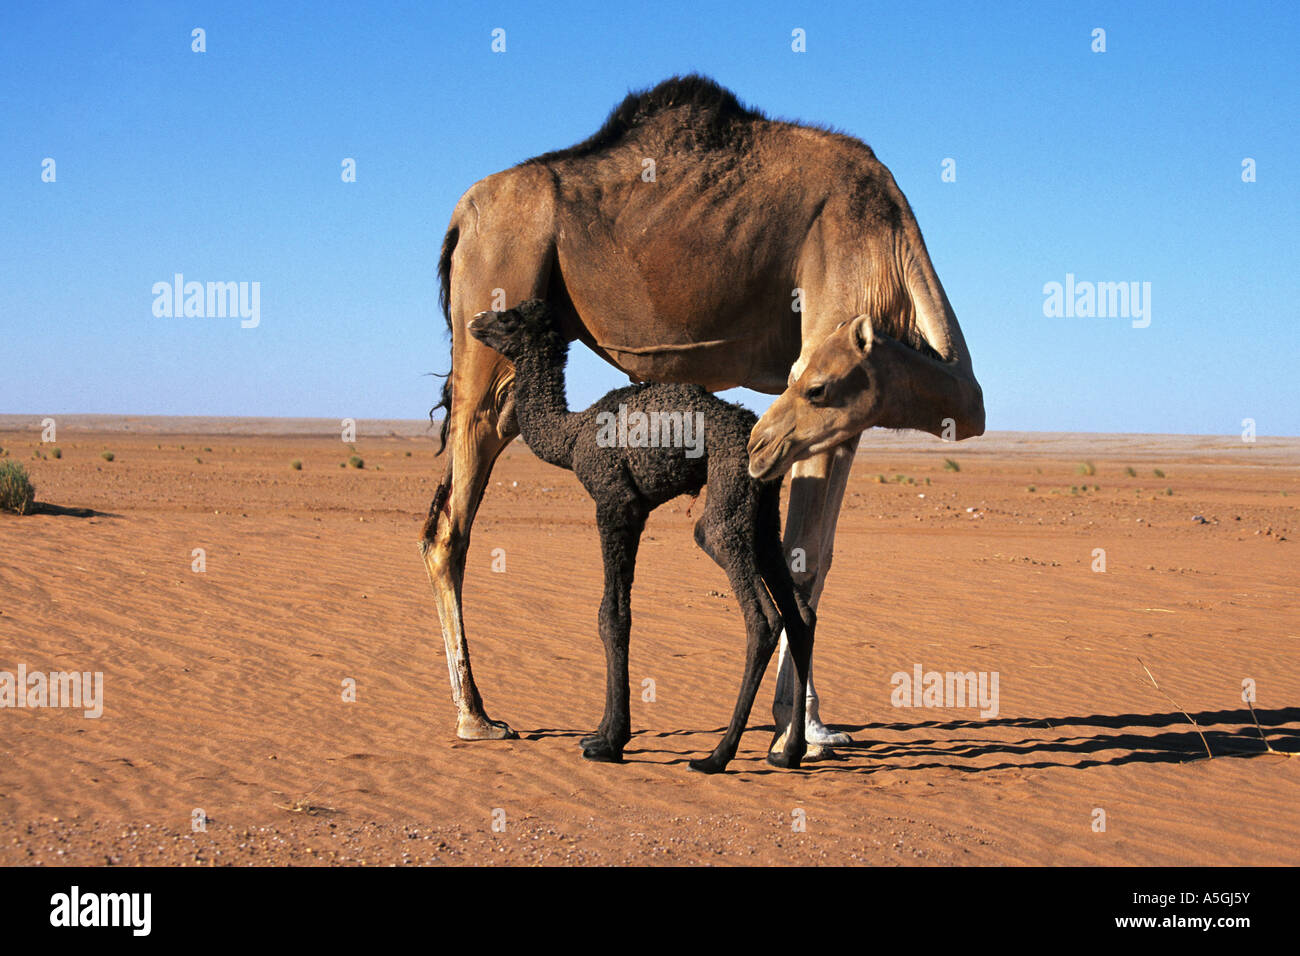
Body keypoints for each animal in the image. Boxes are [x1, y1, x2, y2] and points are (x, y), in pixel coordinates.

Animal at [466, 299, 815, 772]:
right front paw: (597, 732)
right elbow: (606, 613)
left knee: (758, 609)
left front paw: (610, 742)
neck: (571, 436)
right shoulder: (629, 509)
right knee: (799, 612)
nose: (474, 322)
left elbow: (613, 616)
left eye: (507, 318)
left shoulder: (616, 503)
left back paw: (717, 755)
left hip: (727, 495)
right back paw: (789, 752)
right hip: (762, 508)